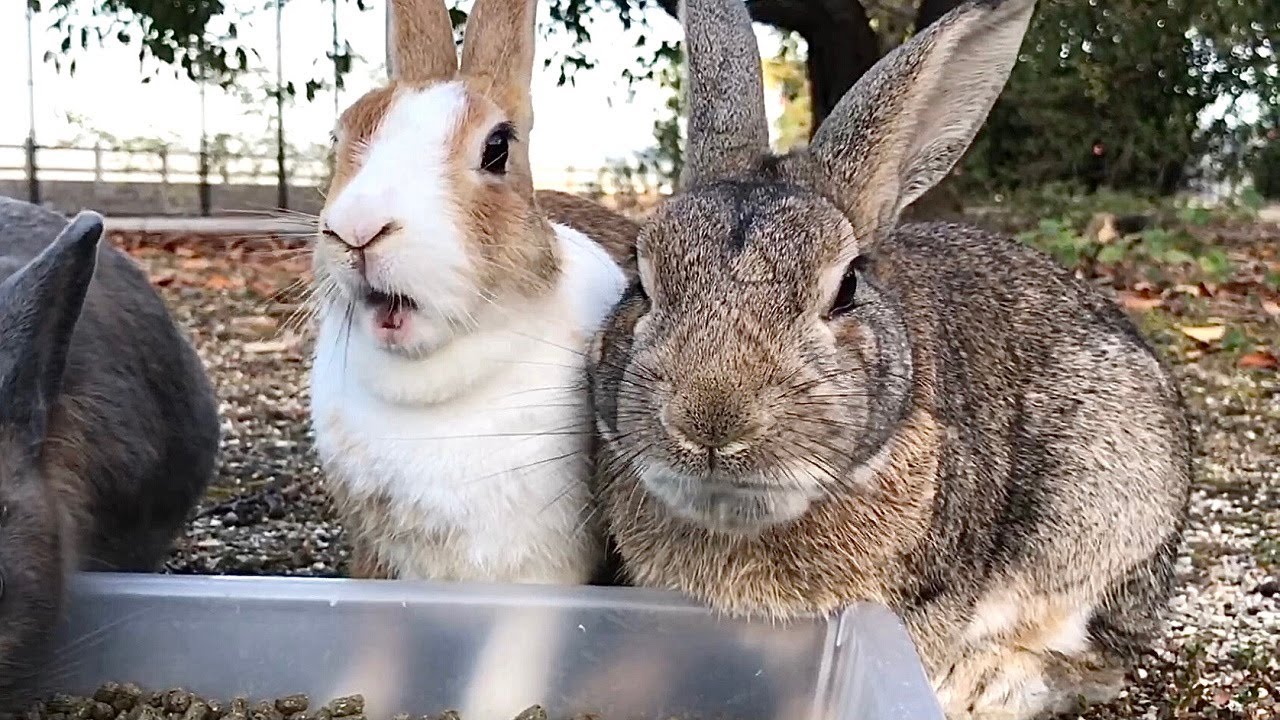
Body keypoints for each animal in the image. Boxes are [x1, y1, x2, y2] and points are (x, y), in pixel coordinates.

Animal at [585, 0, 1192, 718]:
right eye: (640, 280)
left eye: (846, 286)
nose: (709, 419)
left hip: (1106, 520)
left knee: (1097, 660)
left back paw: (988, 683)